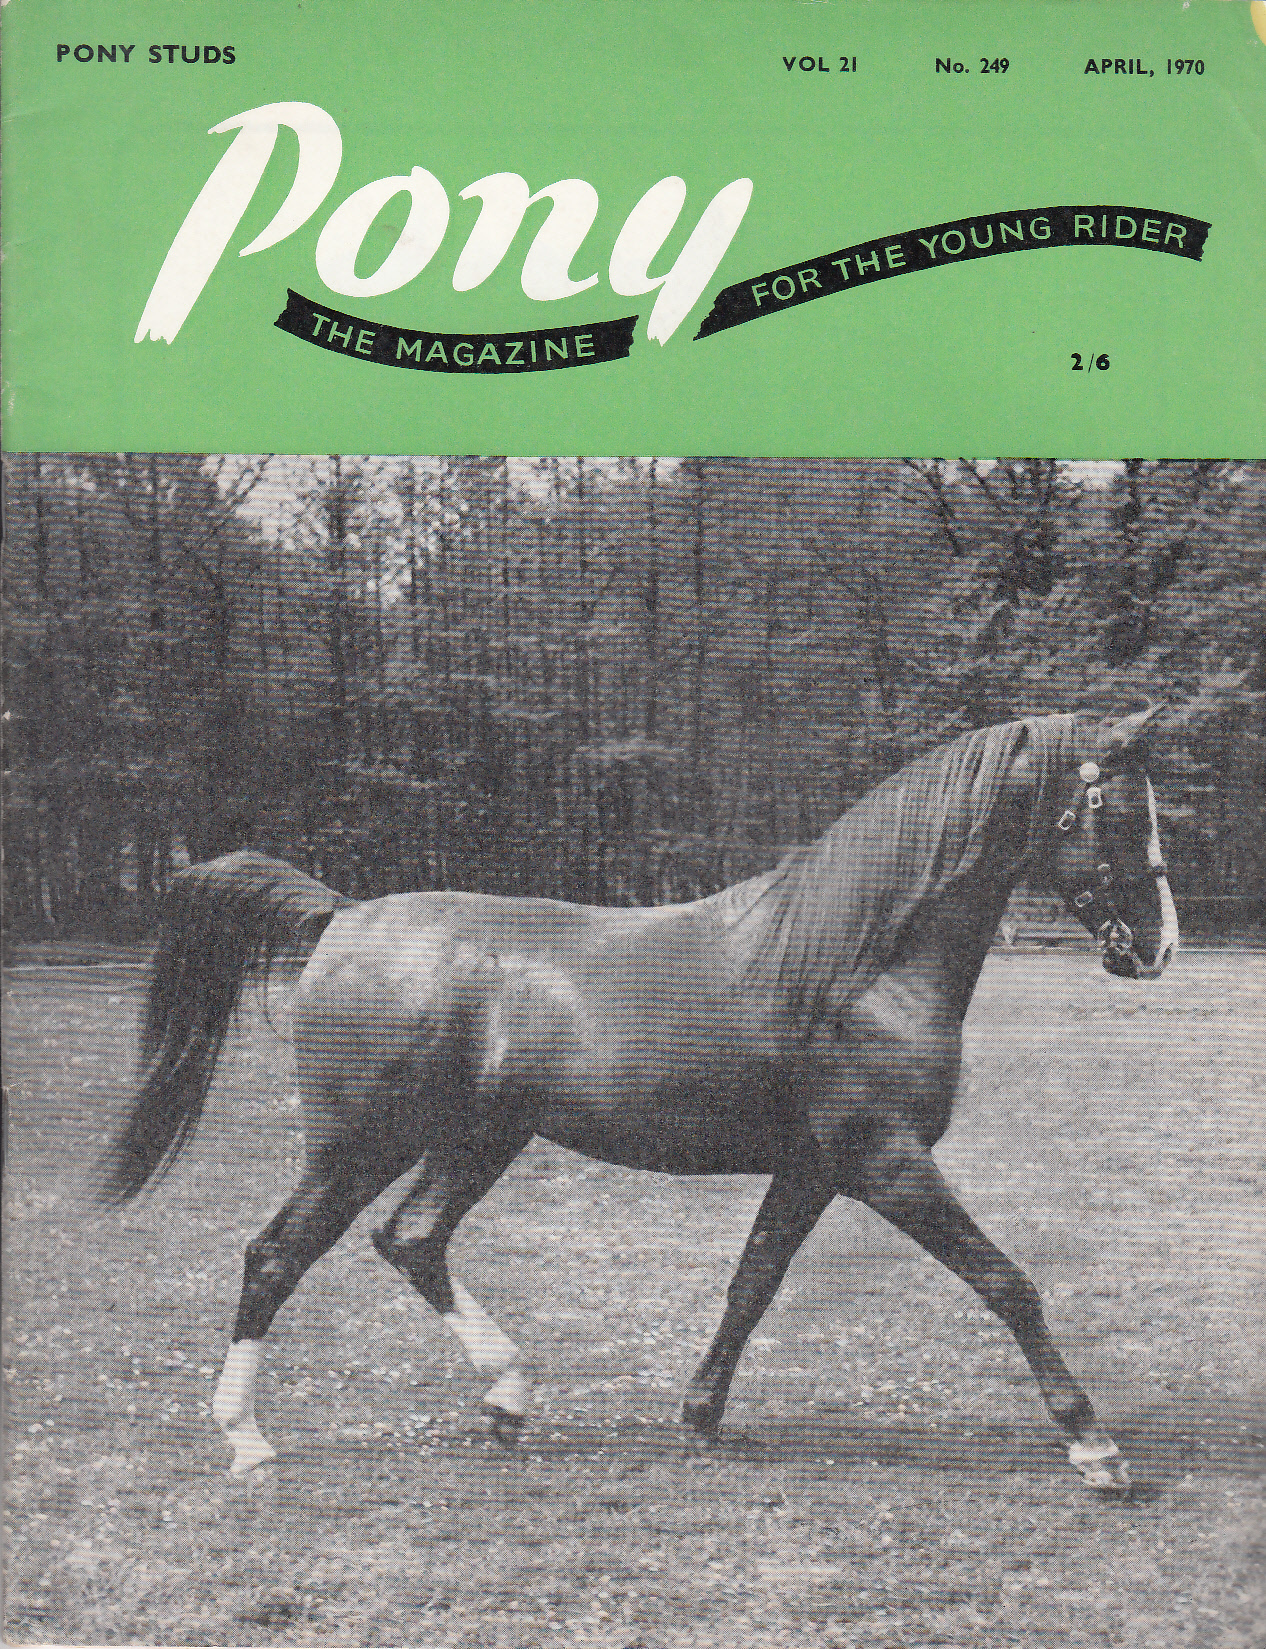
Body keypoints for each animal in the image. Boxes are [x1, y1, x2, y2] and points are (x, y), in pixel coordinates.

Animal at [100, 708, 1178, 1490]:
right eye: (1123, 814)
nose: (1161, 946)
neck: (857, 962)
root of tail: (344, 915)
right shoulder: (885, 1161)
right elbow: (1006, 1280)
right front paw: (1093, 1445)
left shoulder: (815, 1165)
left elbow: (752, 1282)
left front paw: (700, 1416)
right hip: (360, 1142)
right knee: (277, 1254)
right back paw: (248, 1439)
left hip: (477, 1138)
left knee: (411, 1238)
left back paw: (508, 1398)